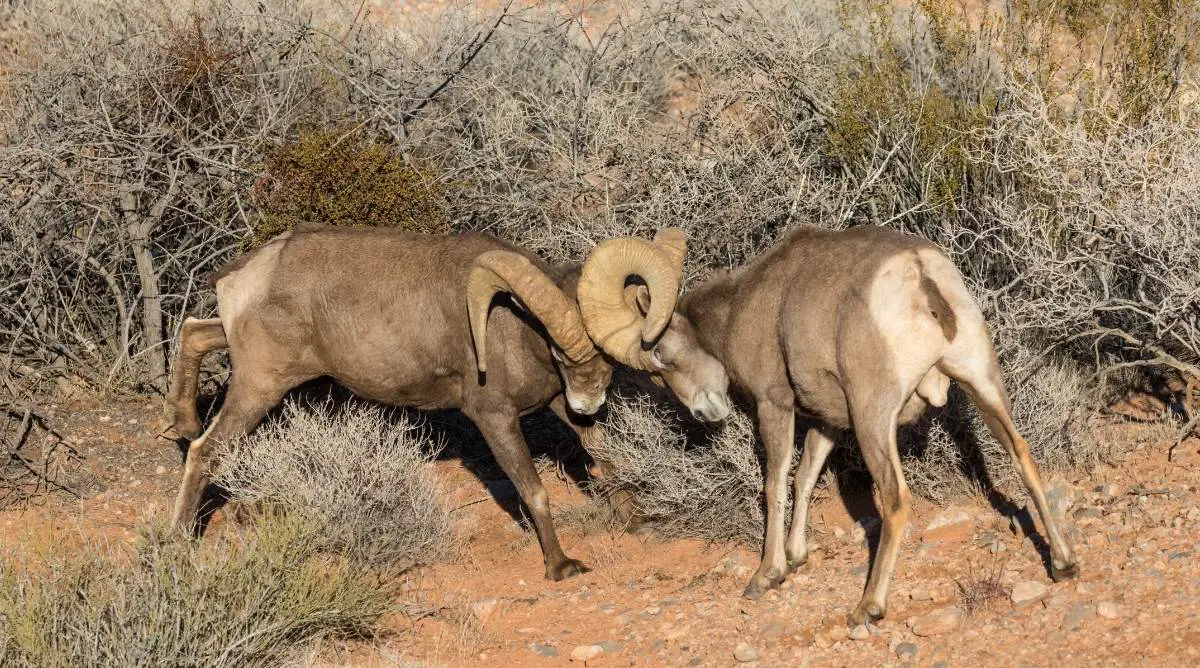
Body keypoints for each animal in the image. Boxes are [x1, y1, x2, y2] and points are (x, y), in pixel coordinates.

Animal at [167, 224, 729, 580]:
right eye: (556, 351)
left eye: (608, 358)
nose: (588, 404)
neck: (507, 325)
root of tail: (243, 276)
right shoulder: (495, 418)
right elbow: (534, 491)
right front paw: (561, 566)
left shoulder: (555, 407)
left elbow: (606, 460)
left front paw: (637, 522)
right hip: (260, 386)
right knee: (206, 452)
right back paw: (177, 544)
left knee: (193, 333)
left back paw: (181, 422)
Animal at [653, 225, 1079, 625]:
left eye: (659, 355)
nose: (703, 413)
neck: (741, 304)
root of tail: (921, 277)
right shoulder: (827, 421)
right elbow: (804, 478)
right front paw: (796, 557)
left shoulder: (774, 404)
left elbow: (775, 483)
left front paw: (768, 575)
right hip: (982, 383)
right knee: (1022, 455)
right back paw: (1063, 565)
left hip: (872, 417)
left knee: (895, 498)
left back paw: (867, 608)